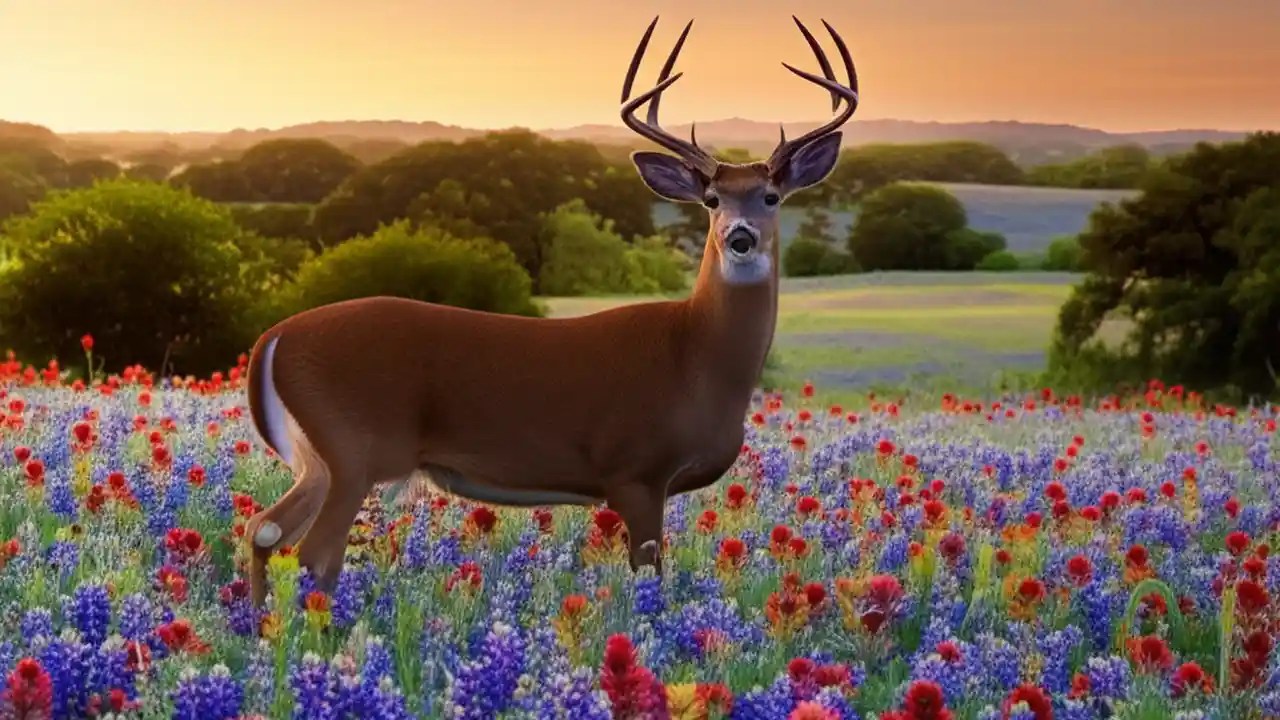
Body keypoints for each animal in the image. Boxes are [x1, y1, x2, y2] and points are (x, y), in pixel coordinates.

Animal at [240, 15, 860, 606]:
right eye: (711, 200)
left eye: (771, 196)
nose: (739, 237)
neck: (695, 353)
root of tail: (273, 339)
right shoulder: (634, 470)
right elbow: (649, 577)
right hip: (354, 451)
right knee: (312, 556)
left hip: (318, 460)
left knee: (264, 530)